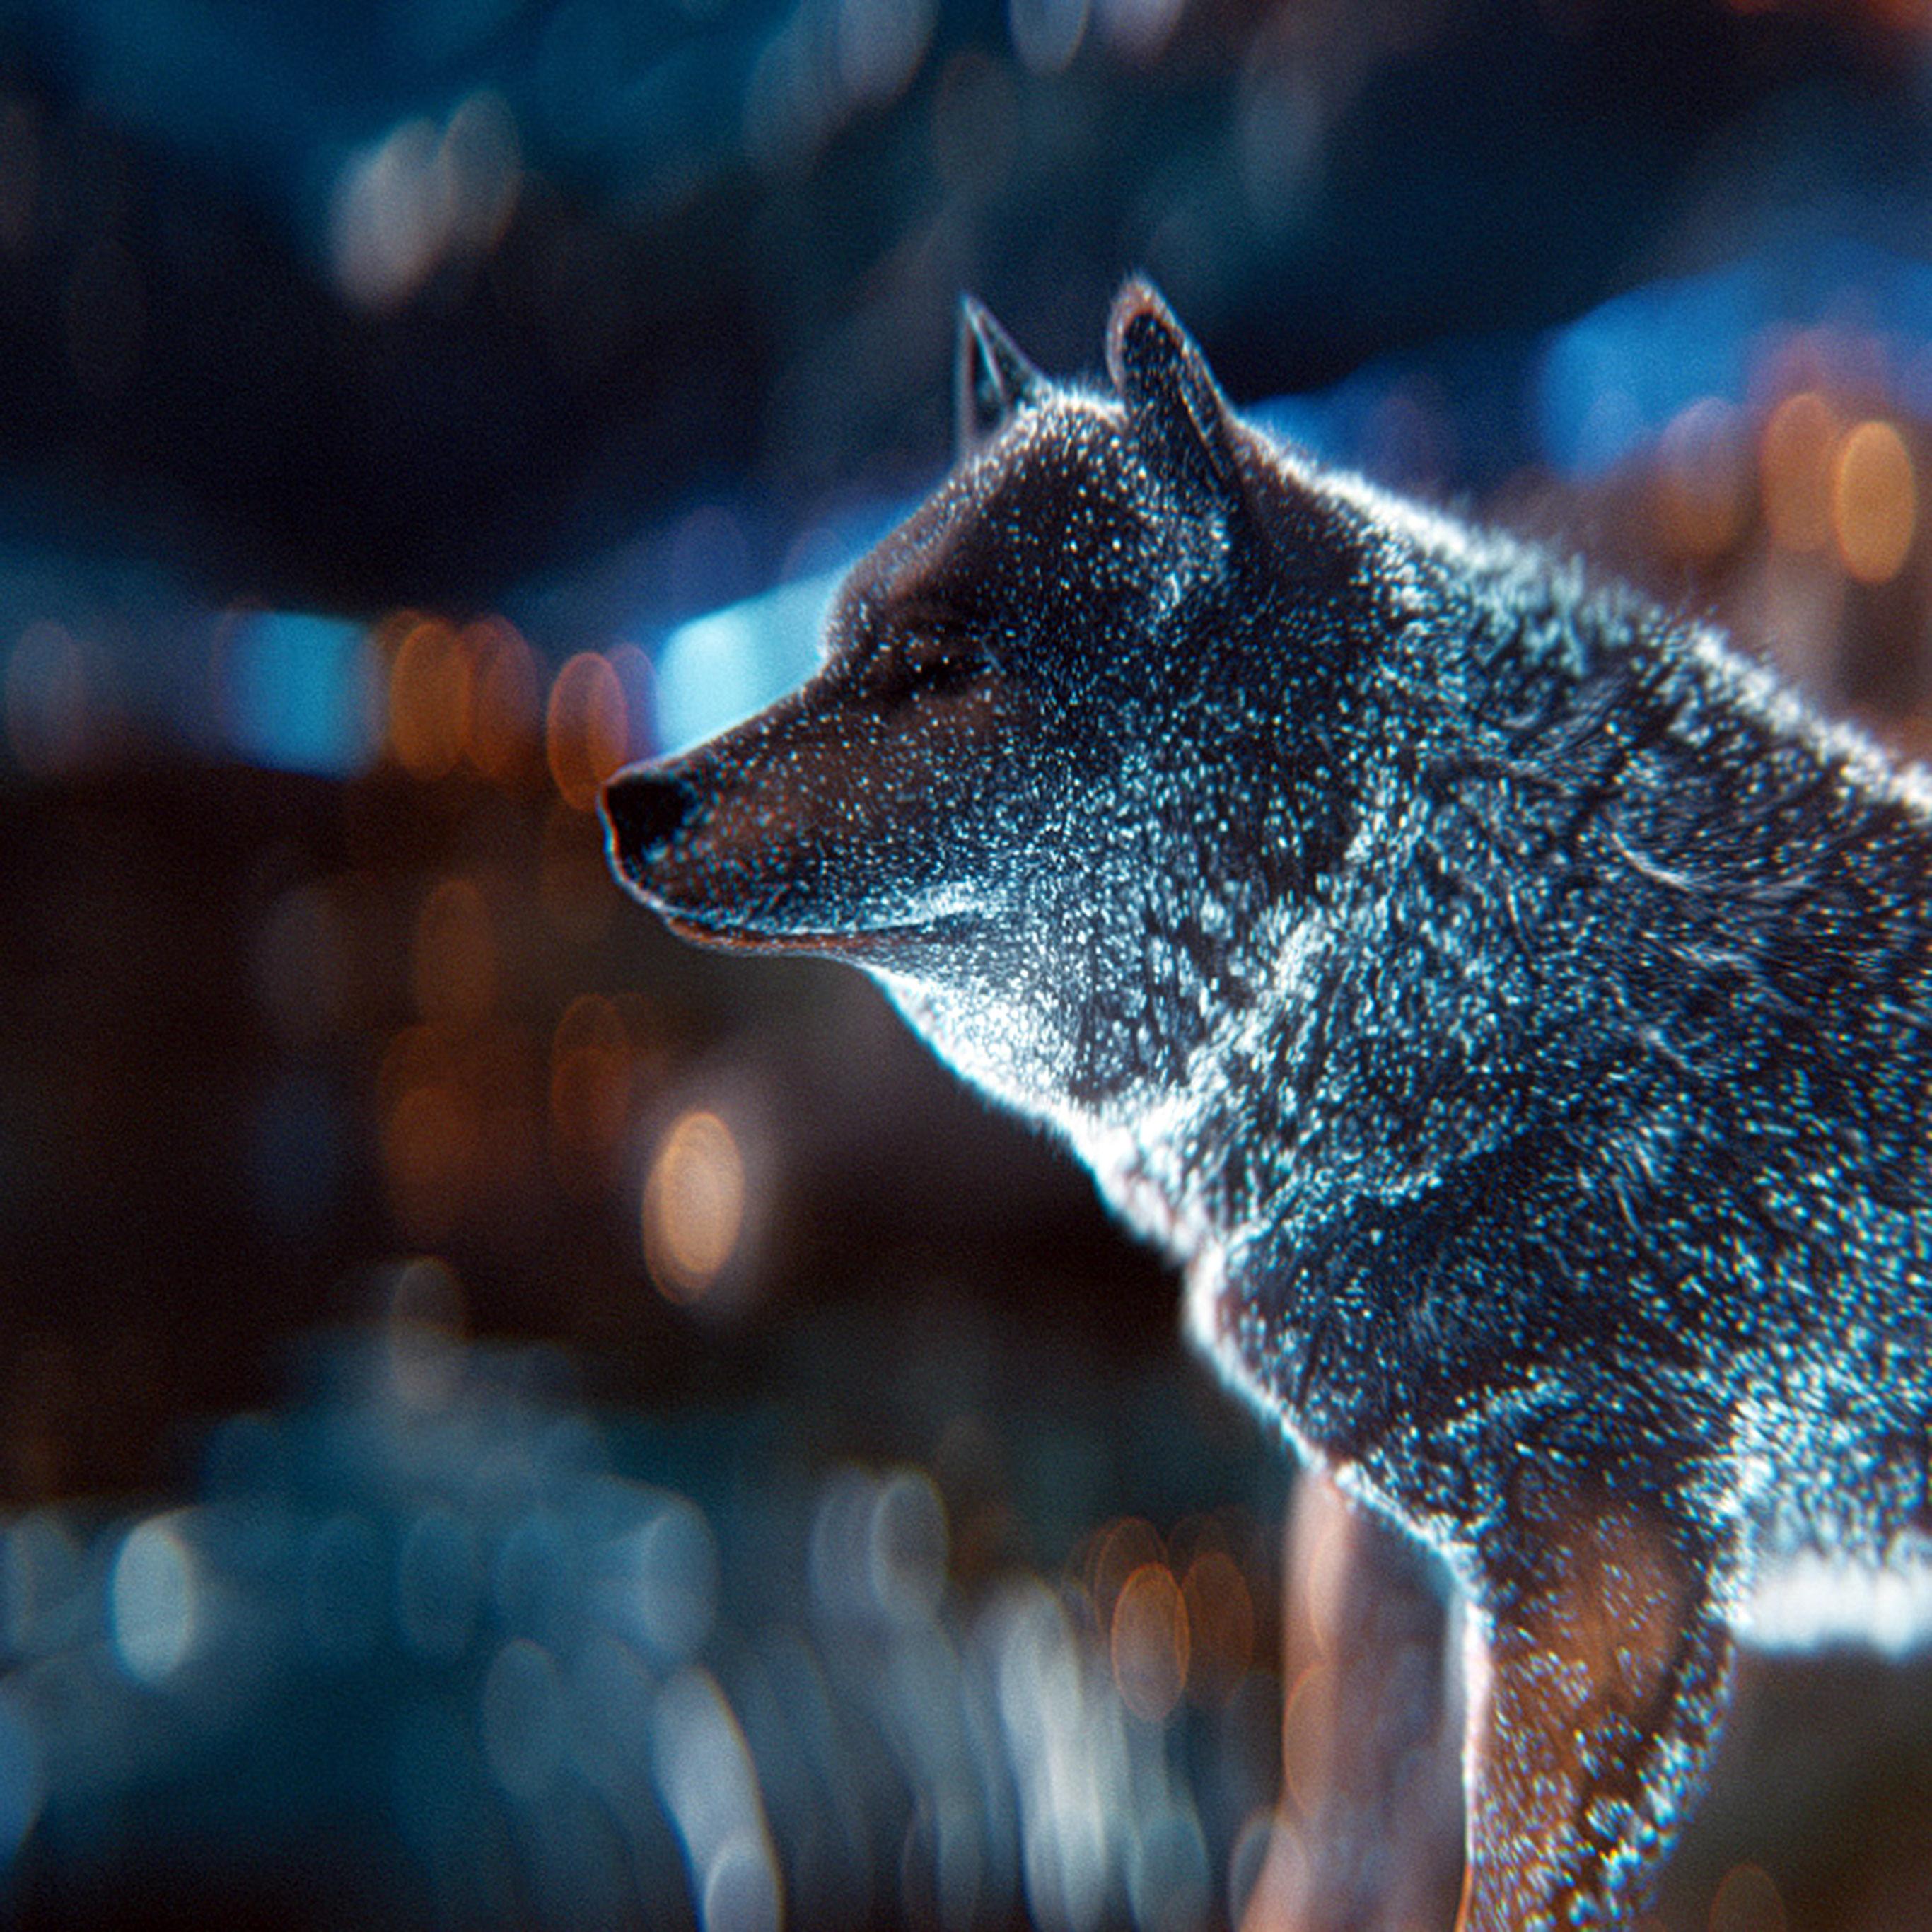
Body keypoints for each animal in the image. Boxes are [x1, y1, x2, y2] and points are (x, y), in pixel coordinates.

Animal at [603, 280, 1932, 1927]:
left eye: (933, 668)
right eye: (835, 646)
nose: (633, 799)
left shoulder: (1612, 1576)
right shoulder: (1393, 1568)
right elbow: (1342, 1848)